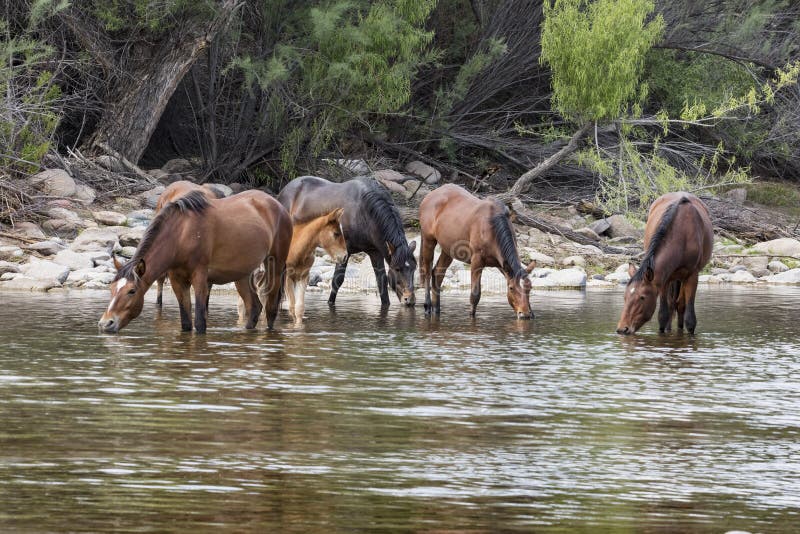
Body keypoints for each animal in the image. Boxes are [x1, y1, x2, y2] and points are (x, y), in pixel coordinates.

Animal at [277, 176, 417, 307]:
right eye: (397, 269)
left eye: (414, 268)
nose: (410, 300)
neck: (364, 212)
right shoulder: (345, 251)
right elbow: (337, 280)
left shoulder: (375, 252)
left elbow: (381, 281)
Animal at [418, 184, 536, 319]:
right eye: (511, 288)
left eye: (530, 287)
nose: (524, 314)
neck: (492, 229)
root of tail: (429, 196)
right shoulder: (477, 260)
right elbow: (475, 295)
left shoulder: (501, 263)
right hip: (429, 240)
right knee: (427, 271)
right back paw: (427, 305)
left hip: (447, 249)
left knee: (437, 273)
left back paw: (436, 308)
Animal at [616, 192, 713, 335]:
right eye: (625, 296)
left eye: (642, 297)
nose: (622, 329)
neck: (682, 236)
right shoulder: (663, 278)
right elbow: (663, 315)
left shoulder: (692, 275)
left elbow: (690, 319)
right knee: (673, 304)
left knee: (680, 305)